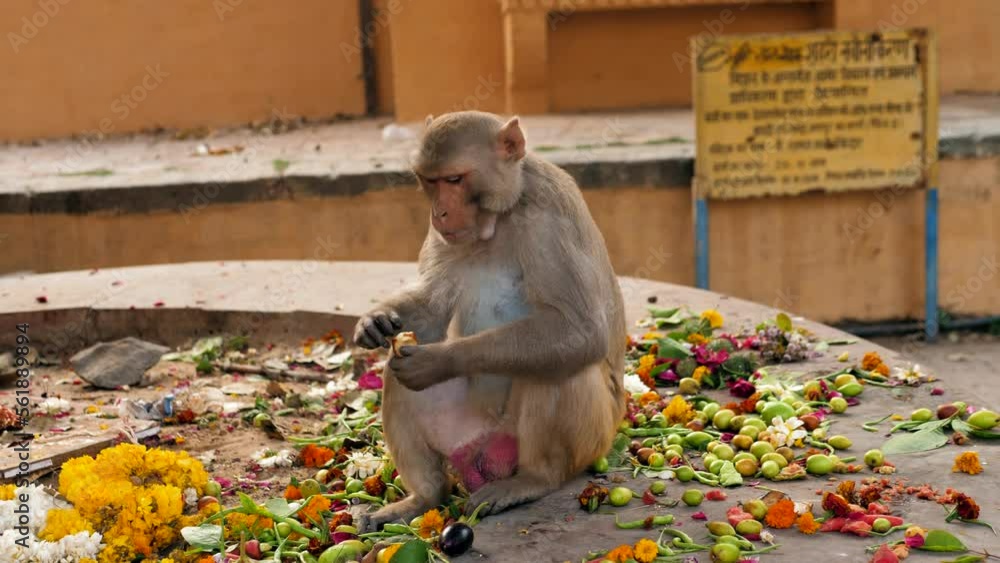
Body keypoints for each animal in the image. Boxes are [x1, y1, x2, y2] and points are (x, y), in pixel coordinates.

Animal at [353, 111, 626, 531]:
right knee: (395, 375)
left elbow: (579, 330)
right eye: (429, 181)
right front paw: (377, 320)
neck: (502, 215)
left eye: (454, 179)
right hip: (464, 432)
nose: (439, 212)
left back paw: (535, 479)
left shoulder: (548, 216)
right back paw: (424, 497)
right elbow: (431, 311)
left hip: (592, 438)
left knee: (560, 365)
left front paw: (439, 360)